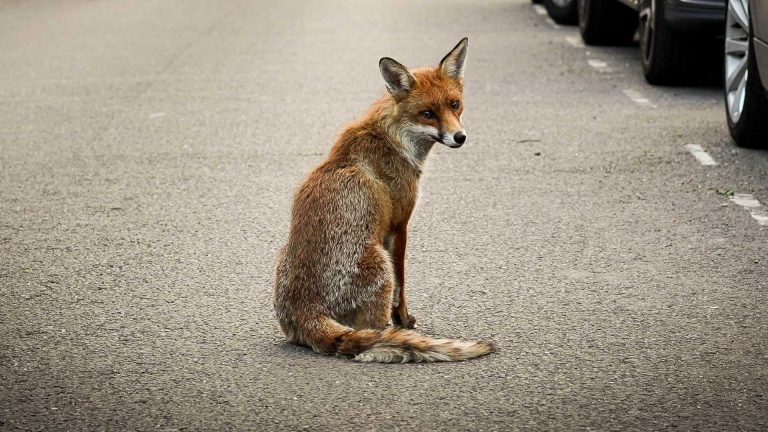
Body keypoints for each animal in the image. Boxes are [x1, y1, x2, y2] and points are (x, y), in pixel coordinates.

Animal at [274, 38, 495, 363]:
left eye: (454, 105)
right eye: (427, 113)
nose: (460, 137)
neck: (394, 140)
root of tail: (307, 311)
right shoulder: (400, 225)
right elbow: (401, 288)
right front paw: (404, 321)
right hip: (379, 261)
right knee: (370, 335)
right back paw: (391, 341)